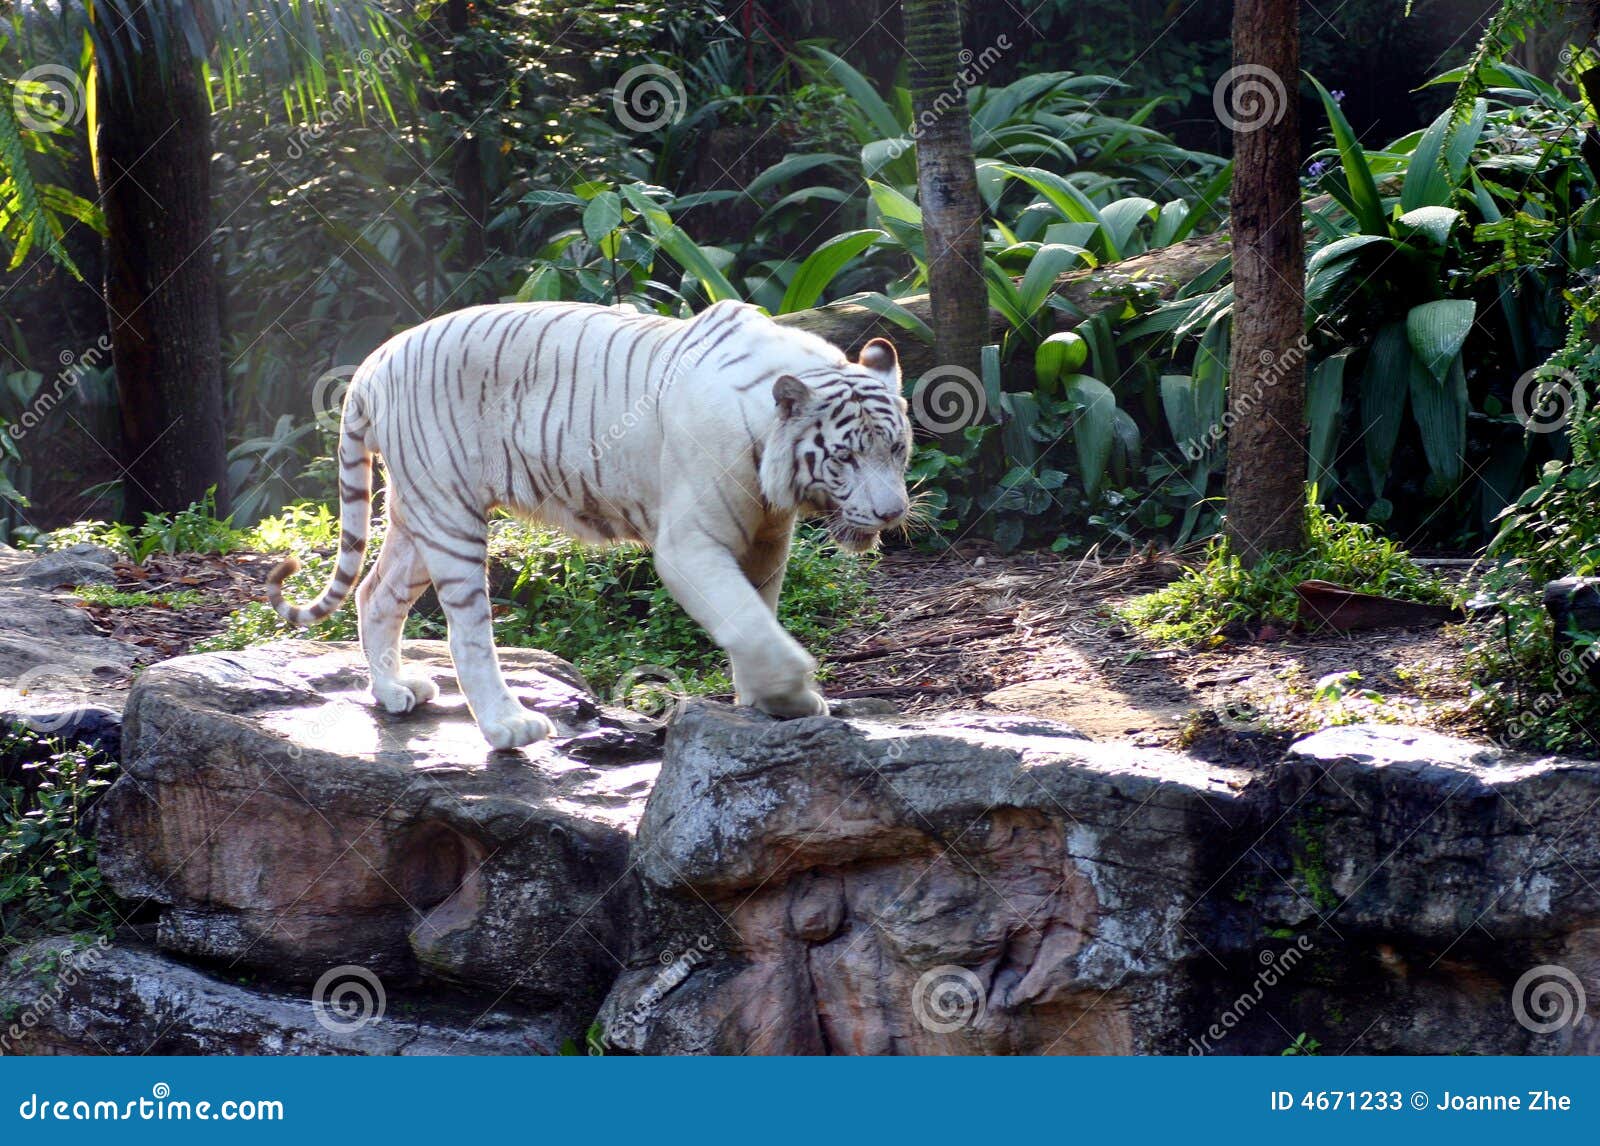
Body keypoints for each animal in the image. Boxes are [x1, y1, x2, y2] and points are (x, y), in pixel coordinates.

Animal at [266, 299, 912, 749]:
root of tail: (372, 364)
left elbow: (757, 616)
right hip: (451, 515)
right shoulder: (691, 545)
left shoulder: (766, 541)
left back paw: (394, 692)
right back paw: (508, 727)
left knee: (375, 593)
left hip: (418, 510)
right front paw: (795, 691)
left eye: (897, 450)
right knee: (466, 632)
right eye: (846, 457)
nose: (892, 513)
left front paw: (768, 699)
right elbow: (751, 624)